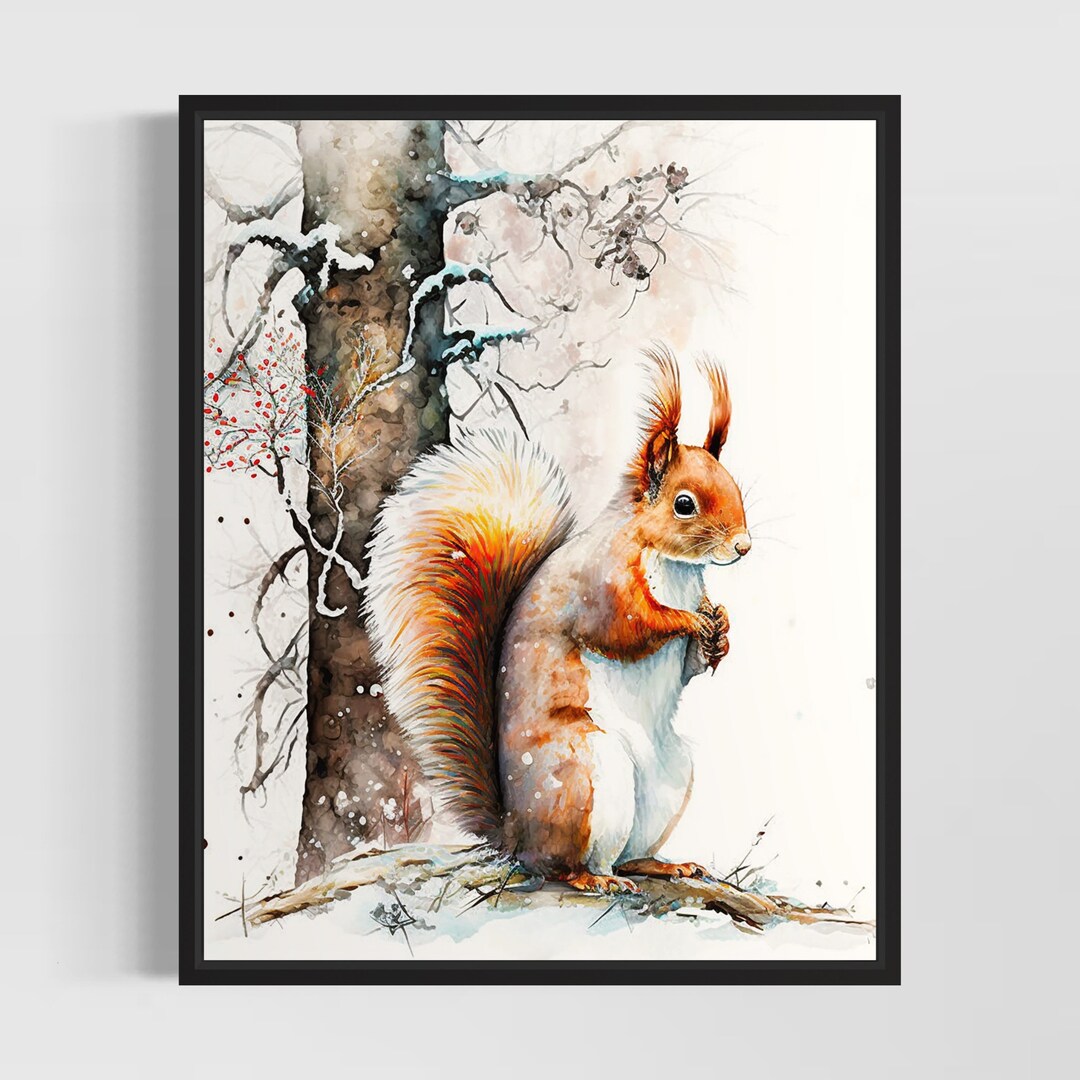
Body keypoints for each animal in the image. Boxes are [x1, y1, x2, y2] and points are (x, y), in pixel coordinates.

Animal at [365, 347, 751, 894]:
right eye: (684, 504)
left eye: (735, 485)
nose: (743, 546)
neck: (672, 565)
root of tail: (513, 834)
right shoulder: (601, 586)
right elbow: (627, 628)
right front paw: (689, 621)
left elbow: (689, 668)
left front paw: (720, 626)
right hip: (582, 772)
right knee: (560, 865)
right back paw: (591, 879)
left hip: (670, 778)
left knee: (626, 855)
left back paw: (660, 866)